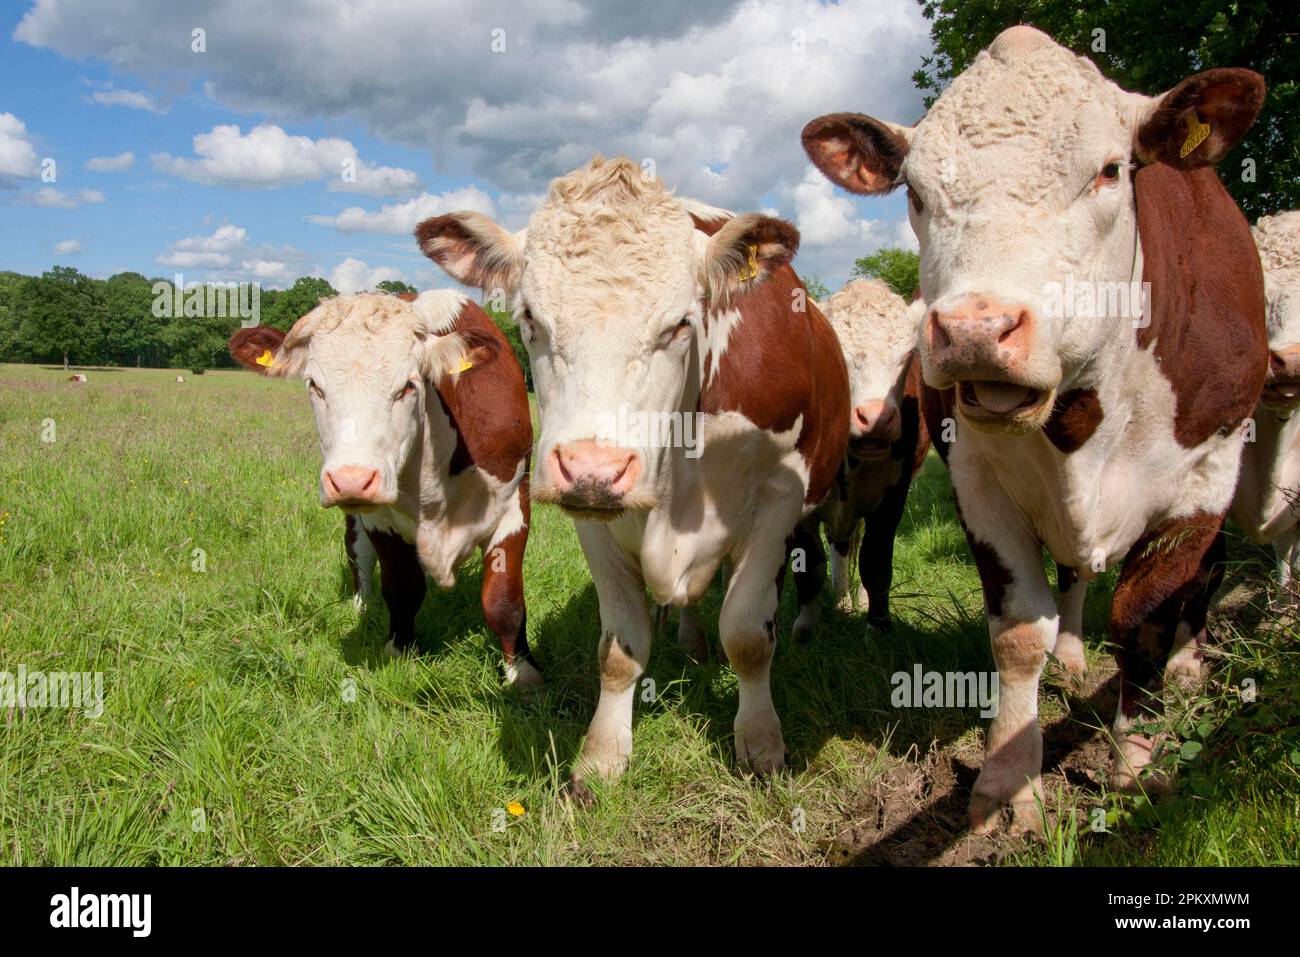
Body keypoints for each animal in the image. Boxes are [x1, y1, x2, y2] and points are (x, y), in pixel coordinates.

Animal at [228, 291, 541, 688]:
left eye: (408, 385)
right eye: (314, 385)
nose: (351, 479)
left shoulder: (514, 502)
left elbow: (504, 600)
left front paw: (522, 674)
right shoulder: (379, 519)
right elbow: (403, 589)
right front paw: (401, 651)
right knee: (357, 553)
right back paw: (362, 603)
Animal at [416, 155, 849, 797]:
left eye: (680, 324)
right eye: (529, 318)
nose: (594, 468)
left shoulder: (778, 498)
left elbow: (748, 634)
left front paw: (761, 745)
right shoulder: (594, 519)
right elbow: (618, 650)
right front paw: (601, 757)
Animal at [798, 278, 931, 636]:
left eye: (907, 357)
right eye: (835, 355)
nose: (876, 418)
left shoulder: (894, 496)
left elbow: (876, 560)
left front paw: (878, 626)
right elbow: (810, 562)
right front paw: (806, 627)